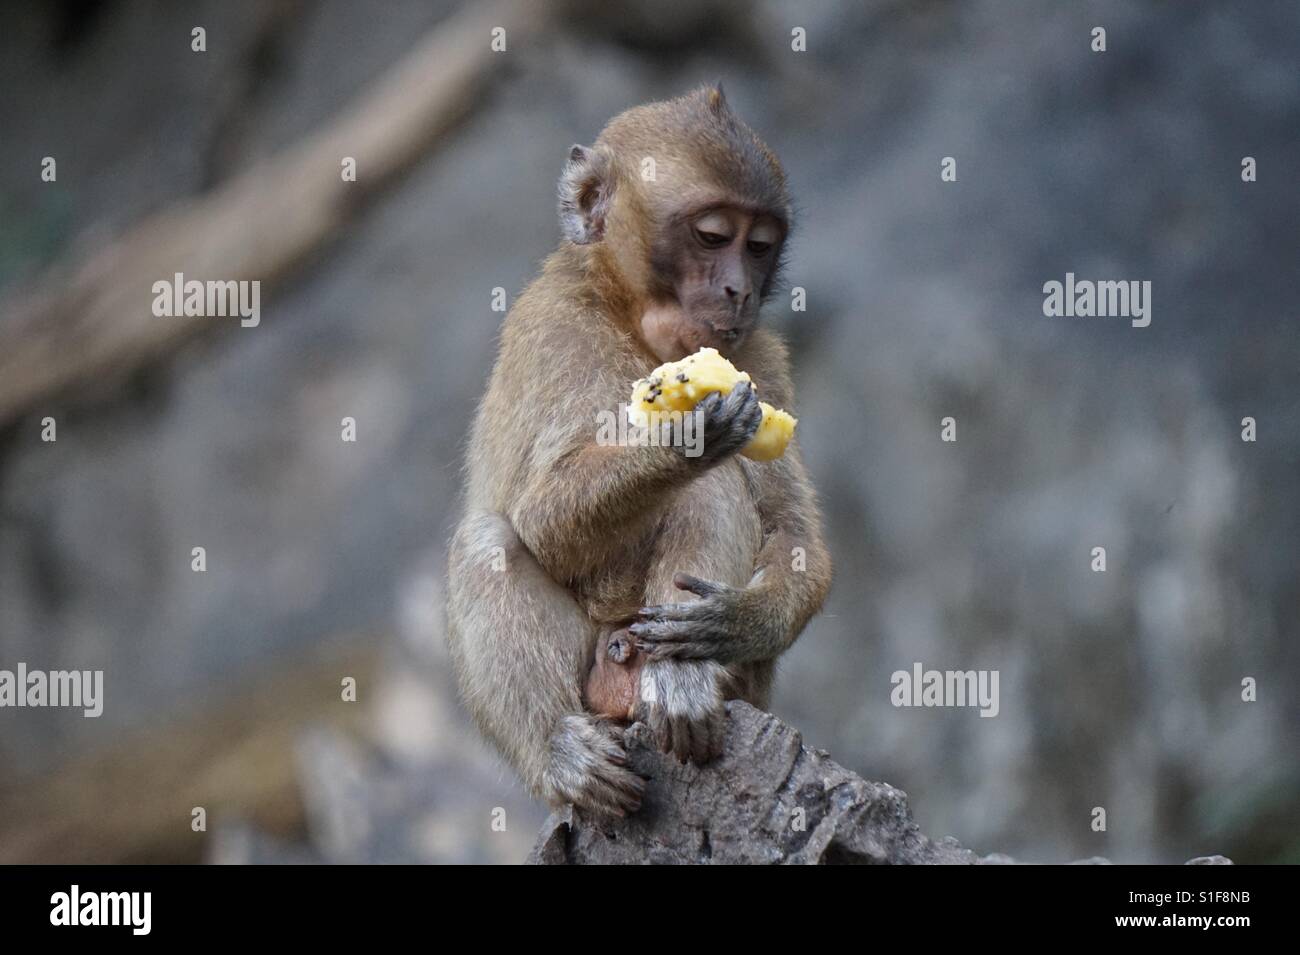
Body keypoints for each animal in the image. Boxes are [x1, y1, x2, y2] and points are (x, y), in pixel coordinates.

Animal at [446, 86, 832, 818]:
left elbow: (796, 537)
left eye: (759, 246)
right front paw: (683, 437)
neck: (632, 318)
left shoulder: (760, 356)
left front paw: (739, 621)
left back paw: (680, 678)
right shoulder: (557, 328)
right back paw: (560, 748)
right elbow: (543, 522)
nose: (739, 289)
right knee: (488, 538)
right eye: (711, 236)